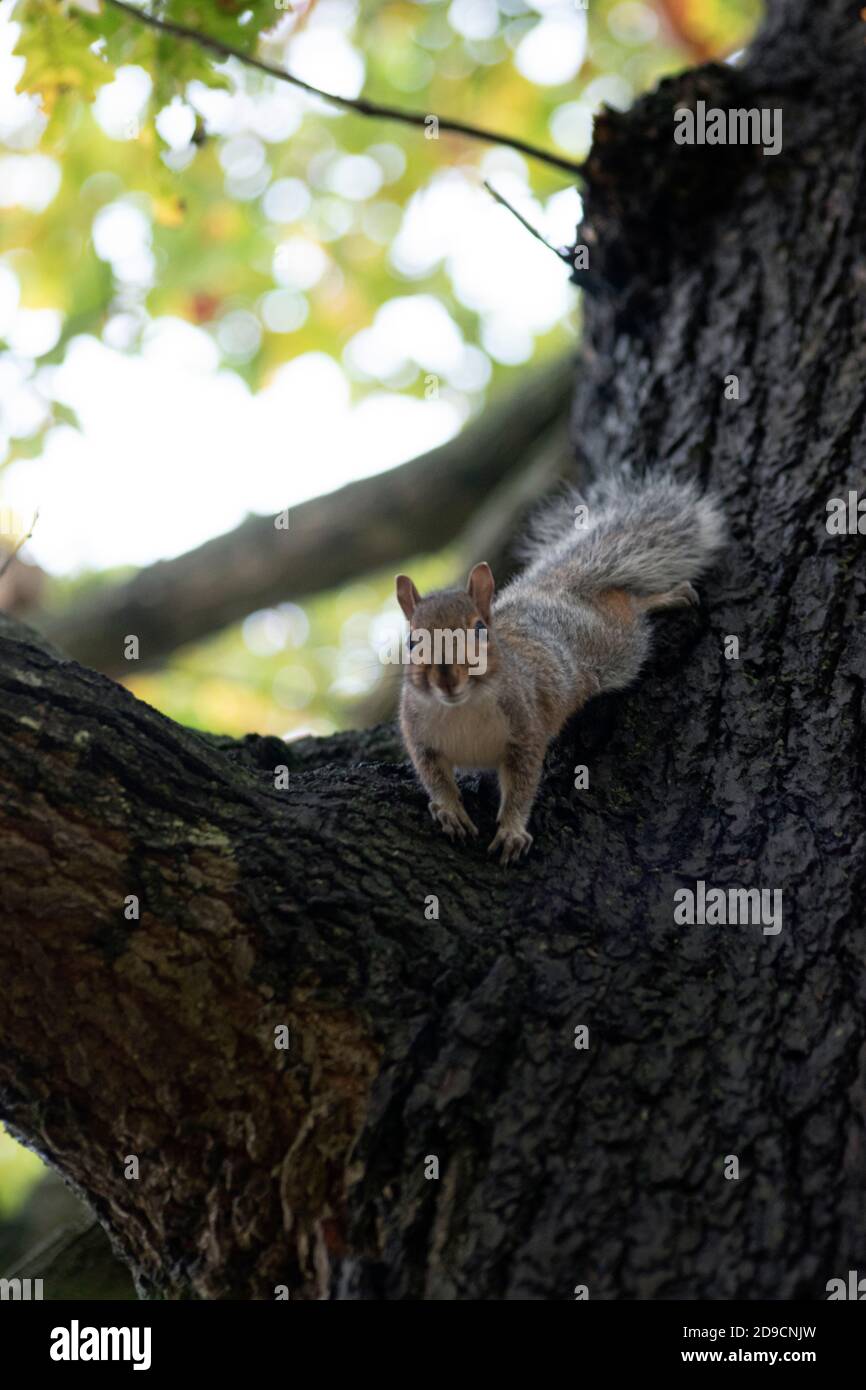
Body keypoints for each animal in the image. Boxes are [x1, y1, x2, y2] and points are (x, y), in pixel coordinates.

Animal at [396, 470, 726, 863]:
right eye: (412, 642)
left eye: (479, 629)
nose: (446, 678)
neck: (464, 707)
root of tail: (560, 591)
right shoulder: (419, 736)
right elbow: (434, 777)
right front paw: (449, 811)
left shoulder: (526, 729)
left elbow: (522, 787)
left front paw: (512, 831)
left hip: (614, 643)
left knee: (629, 605)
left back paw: (664, 597)